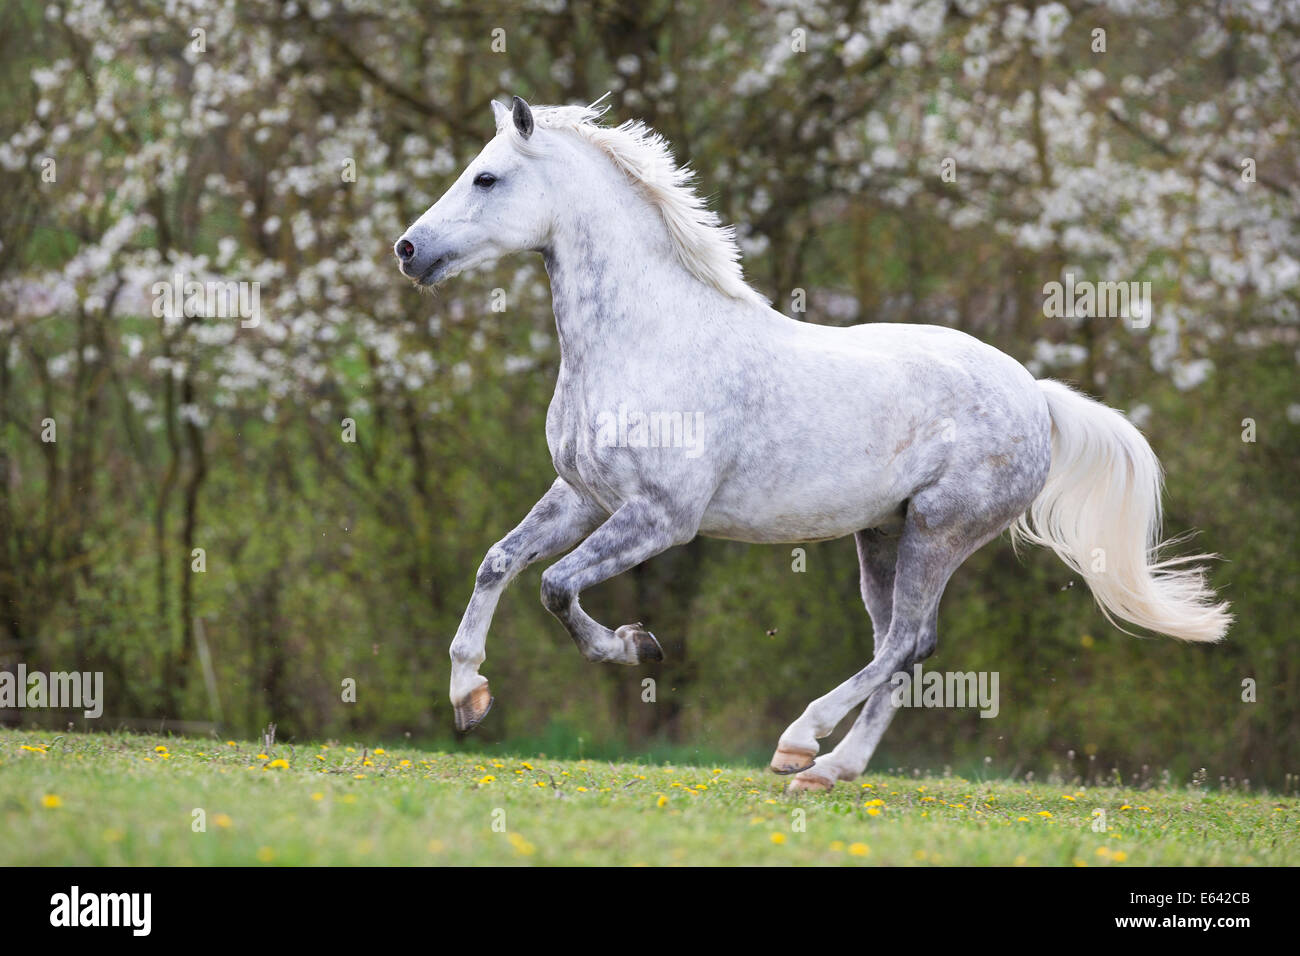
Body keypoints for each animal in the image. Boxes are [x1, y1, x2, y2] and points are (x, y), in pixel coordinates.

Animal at [394, 96, 1231, 791]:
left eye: (487, 178)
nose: (407, 250)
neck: (646, 338)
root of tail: (1037, 395)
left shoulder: (661, 517)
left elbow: (556, 586)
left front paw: (637, 647)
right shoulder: (582, 496)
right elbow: (500, 562)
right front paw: (469, 696)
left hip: (941, 528)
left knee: (903, 644)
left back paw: (801, 743)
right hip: (883, 536)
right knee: (906, 646)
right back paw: (830, 771)